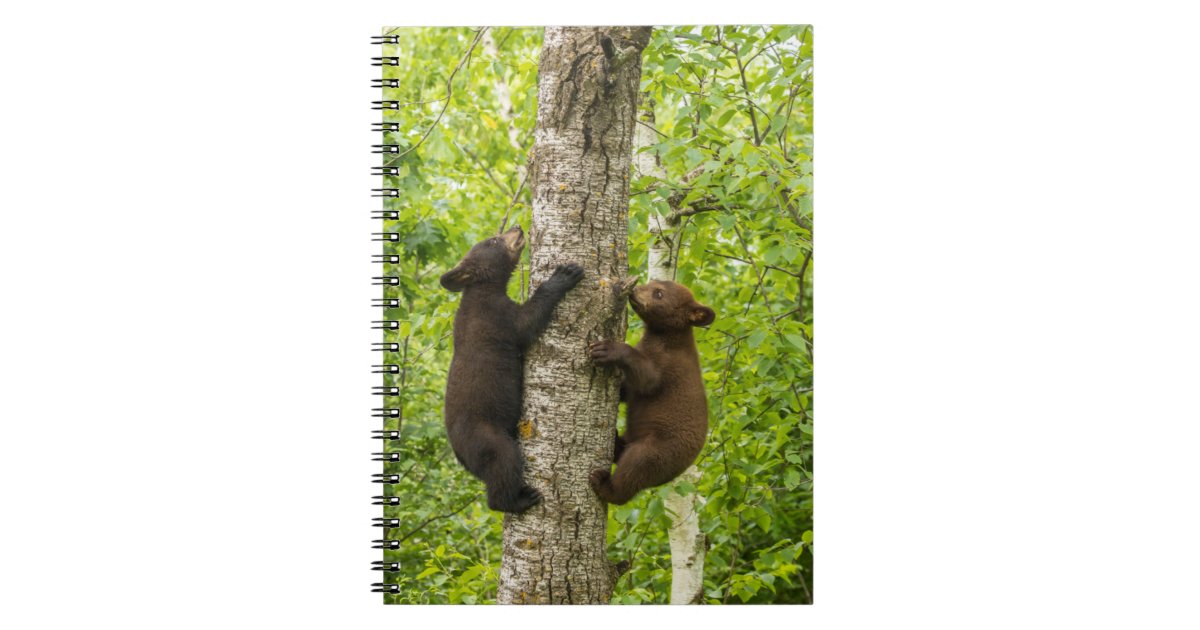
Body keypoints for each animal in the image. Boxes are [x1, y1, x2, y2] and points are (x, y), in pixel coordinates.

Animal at [440, 225, 584, 514]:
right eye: (493, 240)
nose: (517, 228)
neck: (481, 290)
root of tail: (460, 456)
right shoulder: (496, 316)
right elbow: (527, 323)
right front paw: (564, 275)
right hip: (487, 437)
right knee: (503, 463)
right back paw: (520, 499)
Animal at [587, 280, 715, 505]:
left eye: (659, 293)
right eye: (653, 283)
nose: (635, 290)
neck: (665, 337)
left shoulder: (671, 365)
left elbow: (648, 380)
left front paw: (607, 350)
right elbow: (628, 390)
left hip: (660, 449)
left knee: (635, 467)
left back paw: (604, 485)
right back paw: (616, 442)